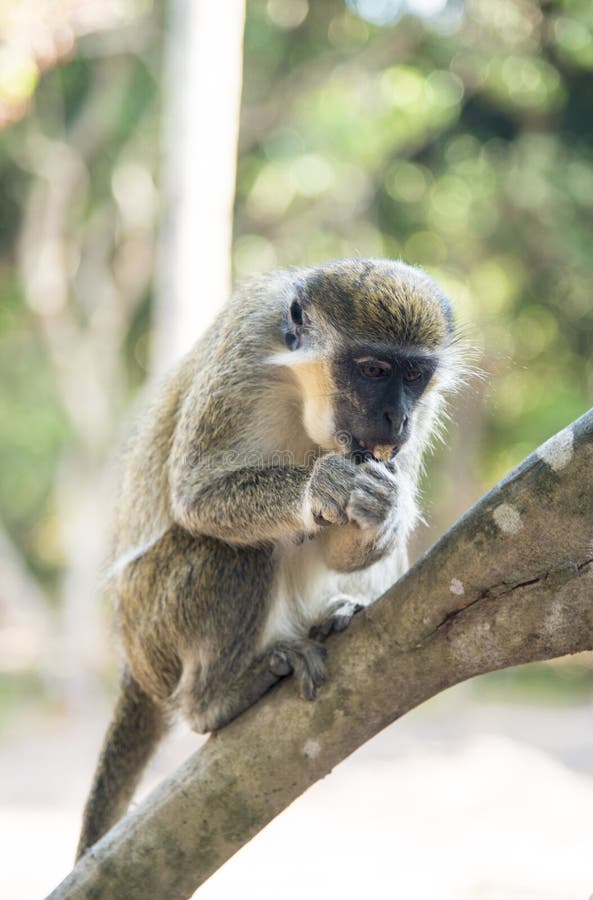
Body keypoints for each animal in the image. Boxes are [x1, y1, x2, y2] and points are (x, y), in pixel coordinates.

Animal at [76, 257, 462, 860]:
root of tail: (133, 662)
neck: (302, 395)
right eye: (374, 369)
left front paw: (385, 507)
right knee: (232, 550)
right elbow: (195, 495)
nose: (396, 419)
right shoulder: (245, 345)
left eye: (415, 376)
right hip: (153, 622)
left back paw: (334, 614)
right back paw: (216, 700)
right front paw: (322, 485)